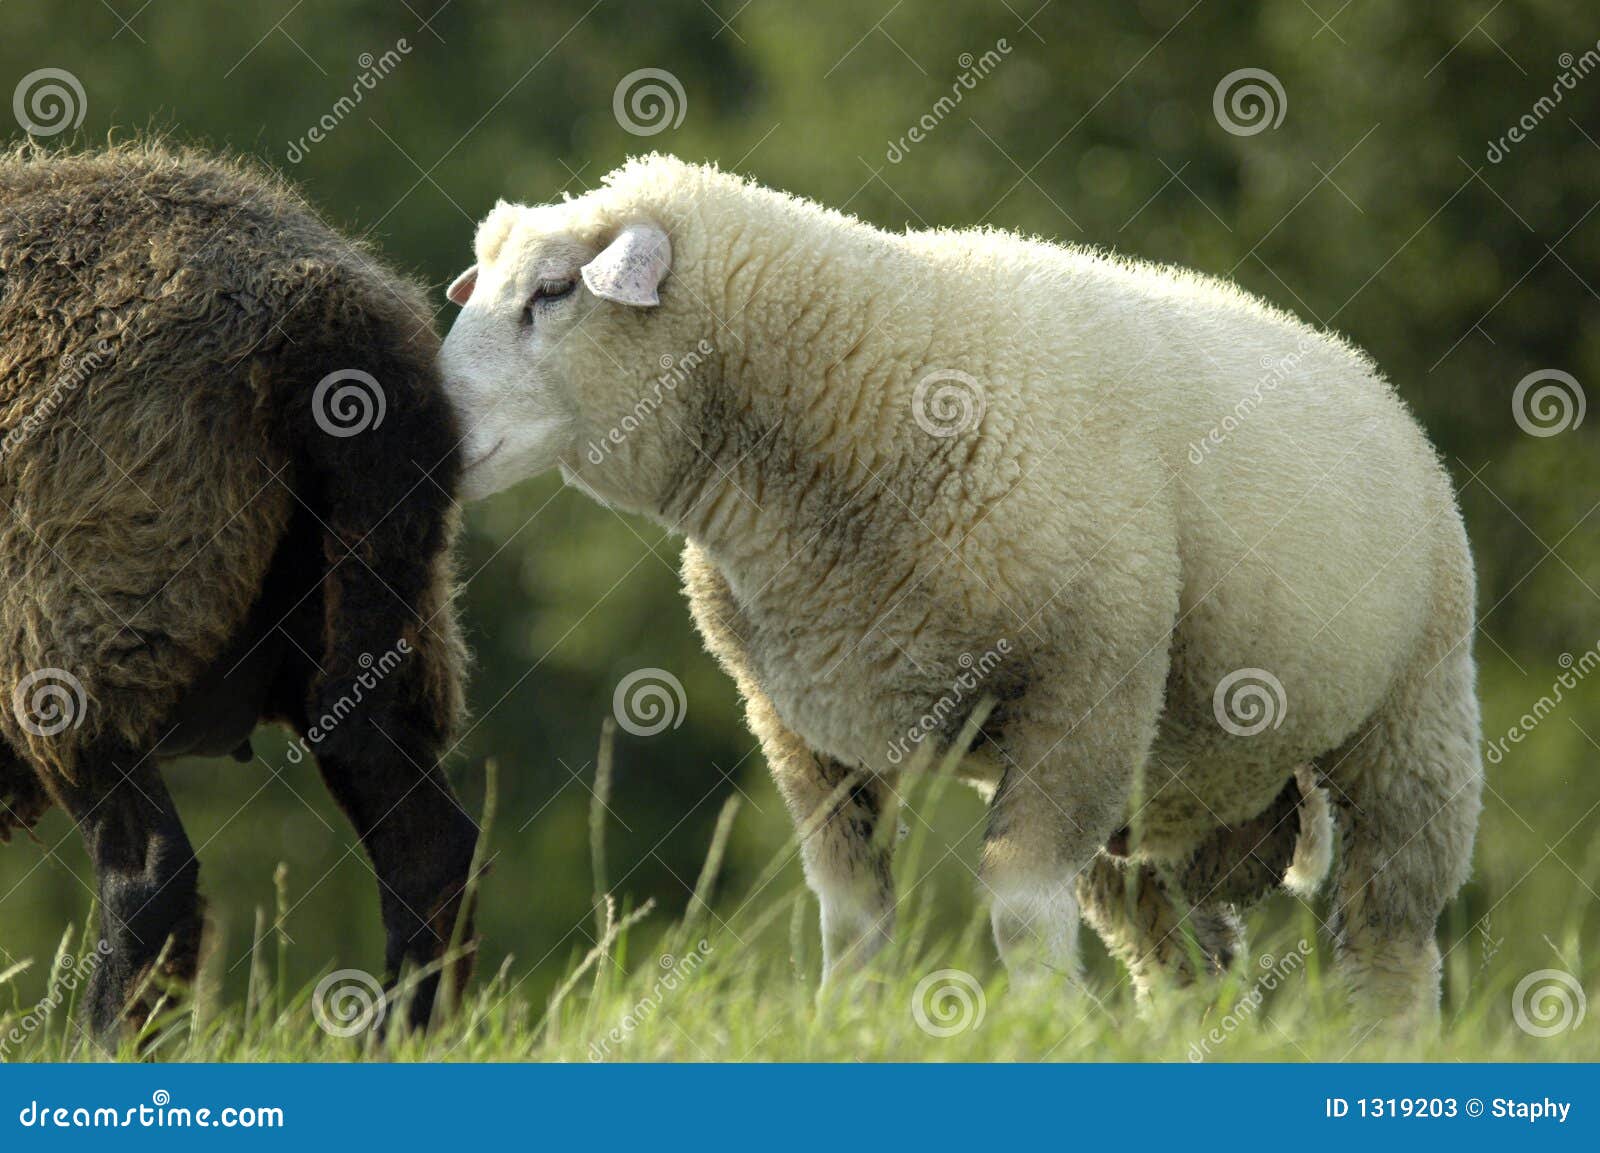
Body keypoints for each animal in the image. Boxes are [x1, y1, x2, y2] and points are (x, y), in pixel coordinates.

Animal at [0, 144, 477, 1037]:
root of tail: (324, 315)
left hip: (85, 625)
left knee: (150, 877)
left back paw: (103, 1043)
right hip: (372, 609)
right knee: (424, 844)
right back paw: (404, 1038)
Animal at [438, 154, 1482, 1023]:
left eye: (553, 292)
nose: (434, 424)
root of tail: (1362, 369)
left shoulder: (1081, 691)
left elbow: (1018, 910)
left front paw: (1049, 1030)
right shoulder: (803, 726)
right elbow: (852, 918)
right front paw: (843, 1025)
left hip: (1411, 723)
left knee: (1390, 939)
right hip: (1164, 788)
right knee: (1184, 958)